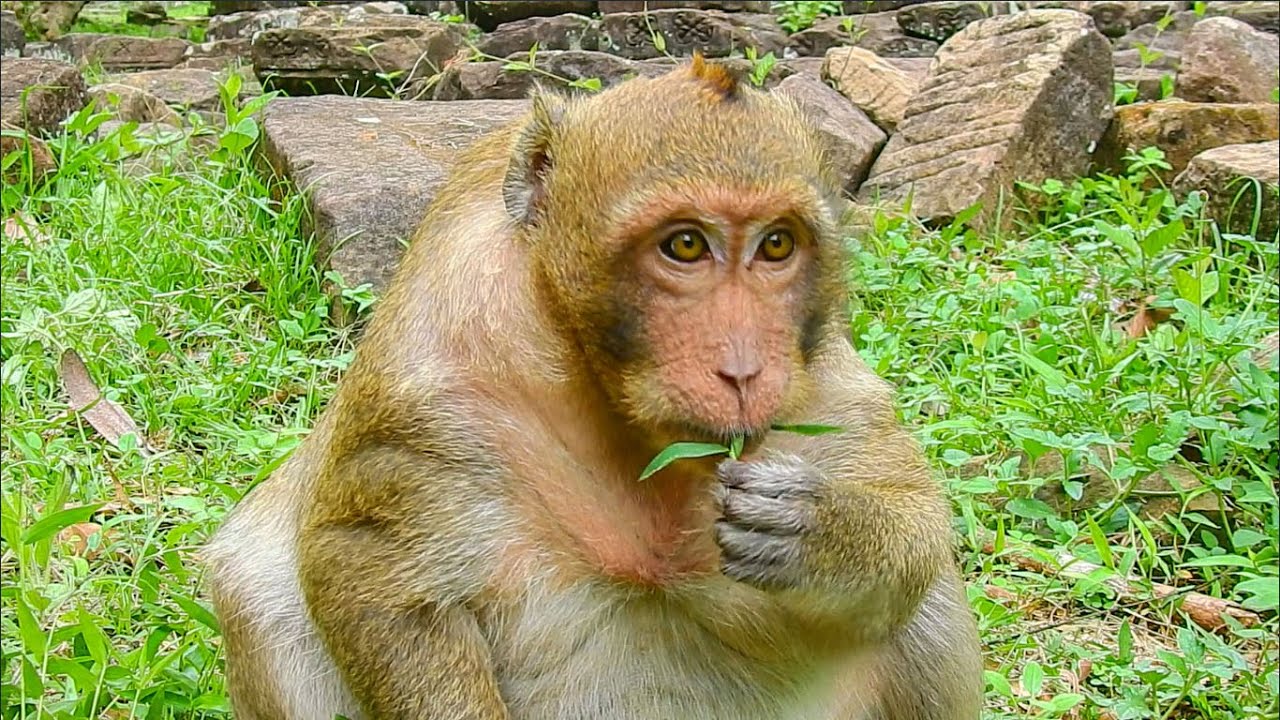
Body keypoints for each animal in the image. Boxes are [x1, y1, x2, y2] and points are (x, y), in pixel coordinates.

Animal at [203, 55, 983, 720]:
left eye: (777, 245)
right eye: (685, 245)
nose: (743, 370)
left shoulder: (818, 372)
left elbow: (917, 528)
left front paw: (821, 530)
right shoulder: (434, 384)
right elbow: (368, 572)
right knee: (262, 593)